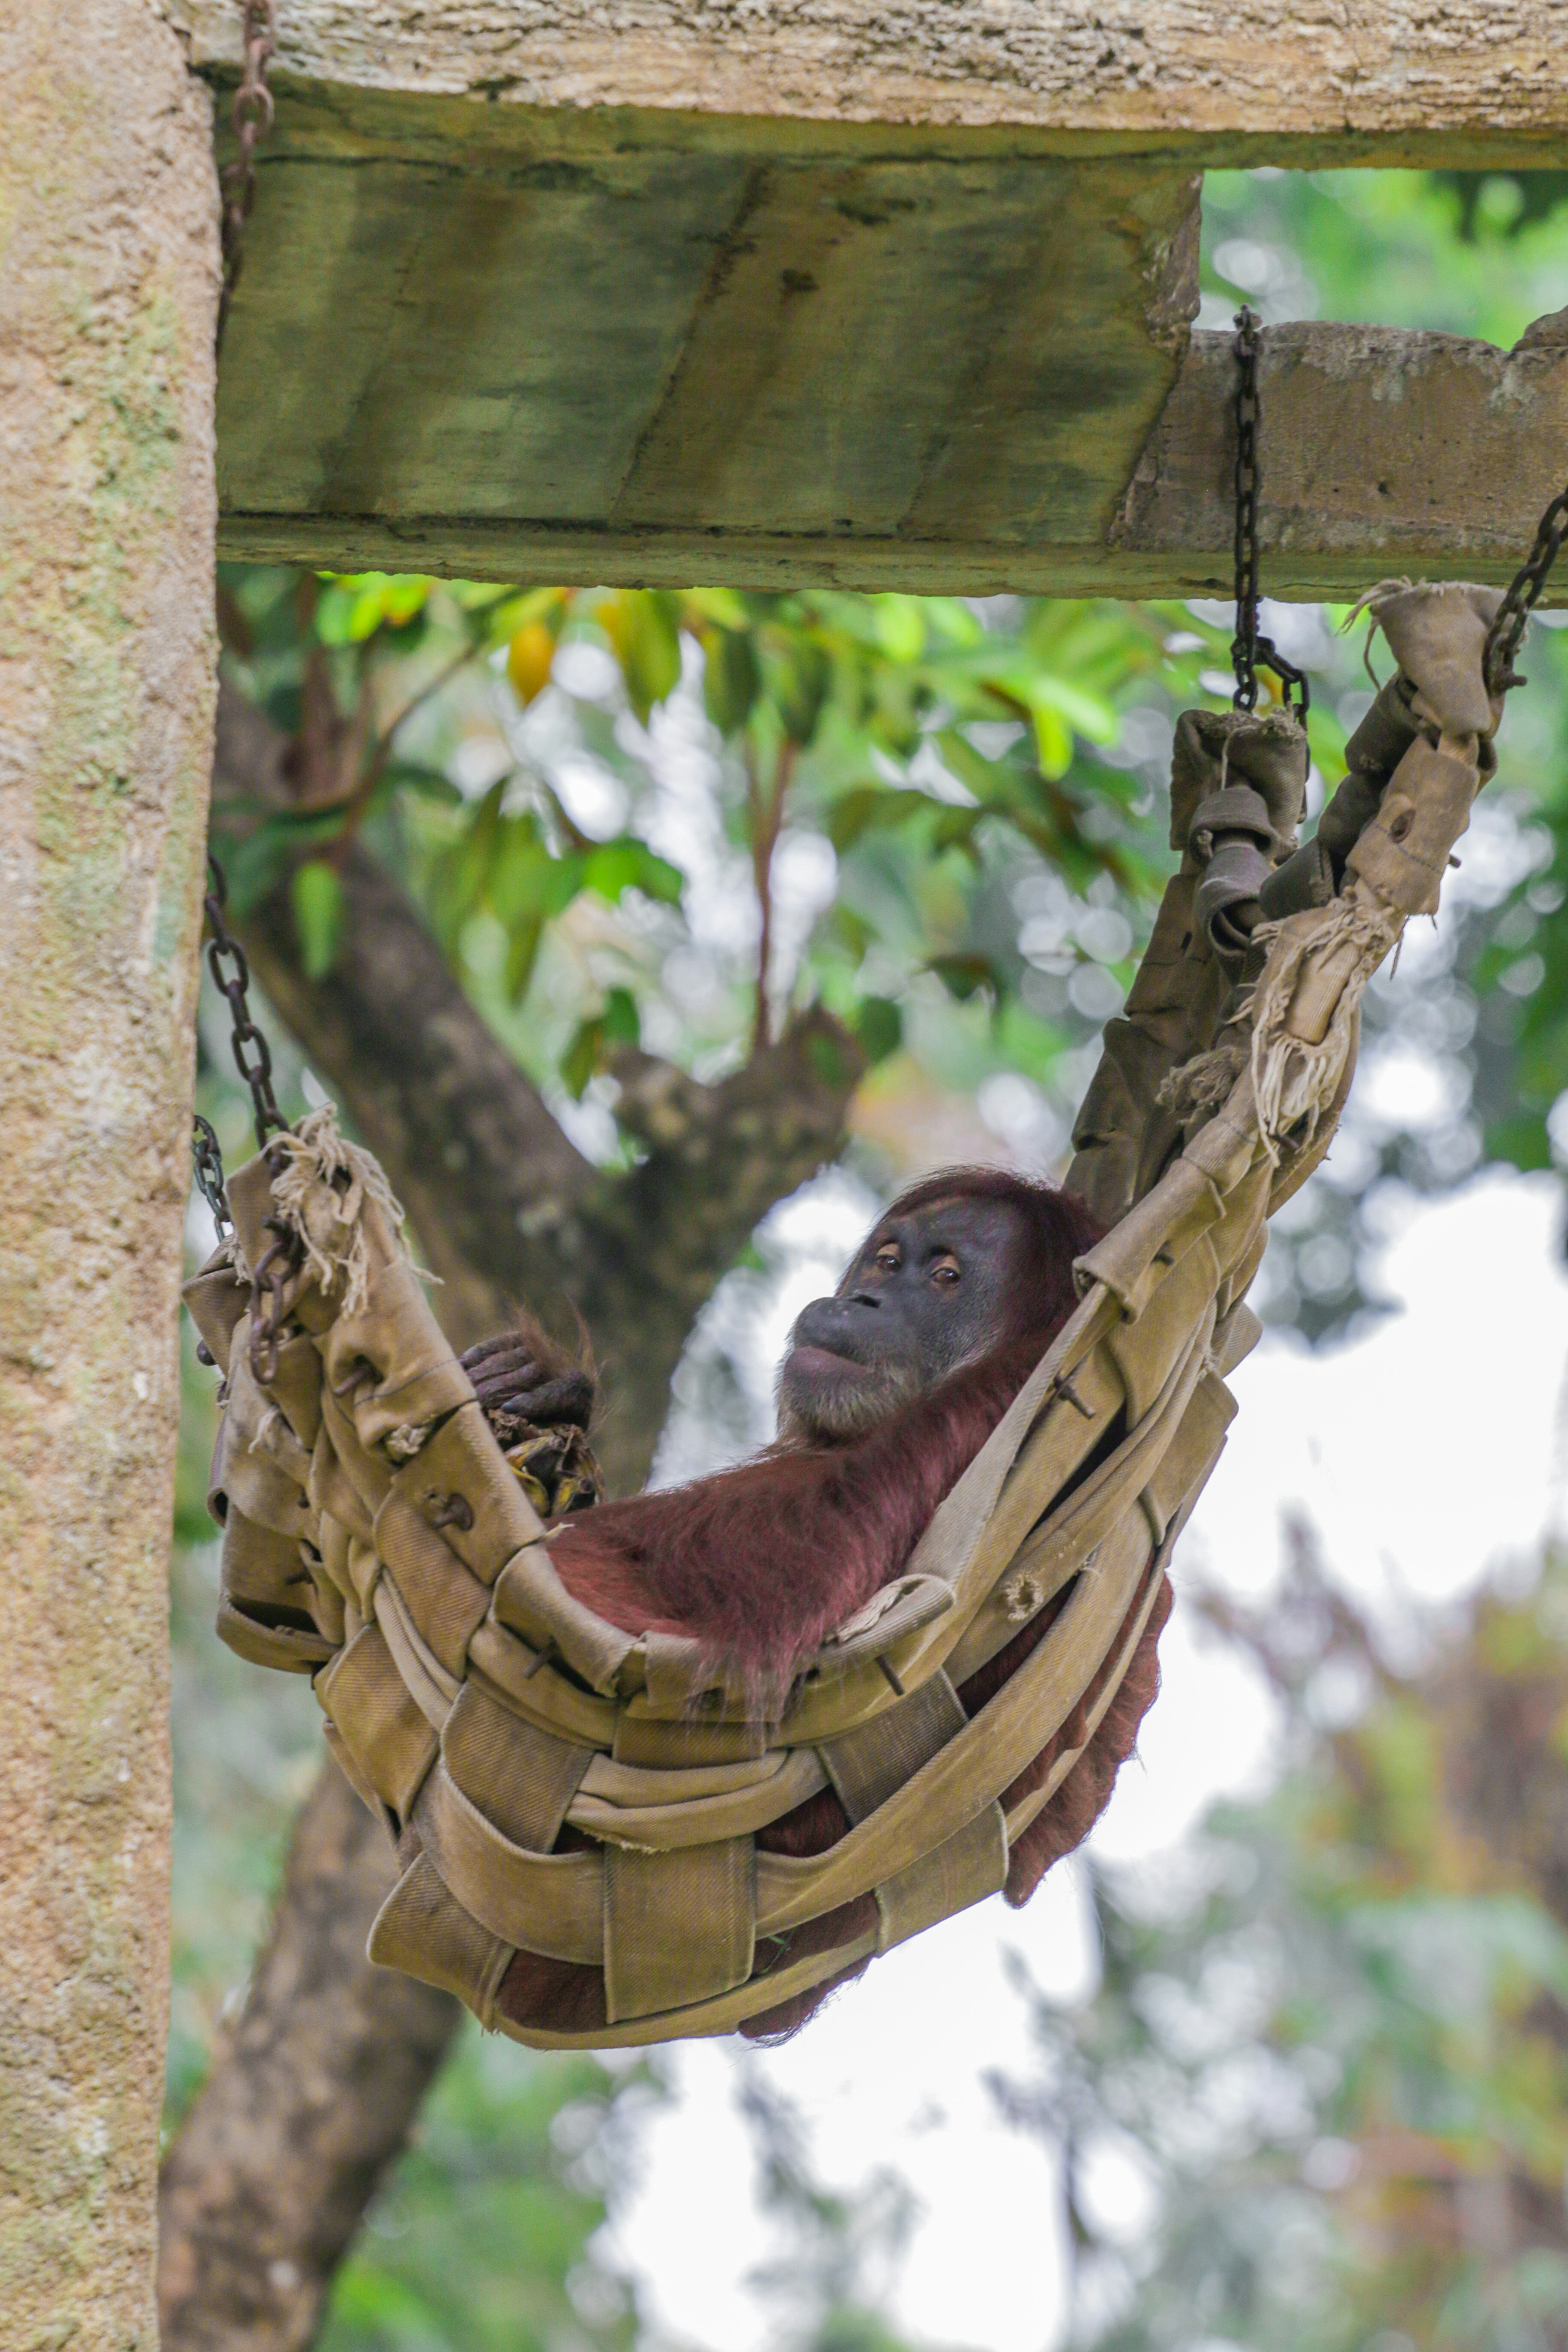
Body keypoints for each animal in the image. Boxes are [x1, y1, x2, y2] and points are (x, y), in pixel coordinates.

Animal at [456, 1168, 1173, 2044]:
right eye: (888, 1261)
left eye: (945, 1277)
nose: (863, 1298)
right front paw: (544, 1391)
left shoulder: (996, 1405)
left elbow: (693, 1601)